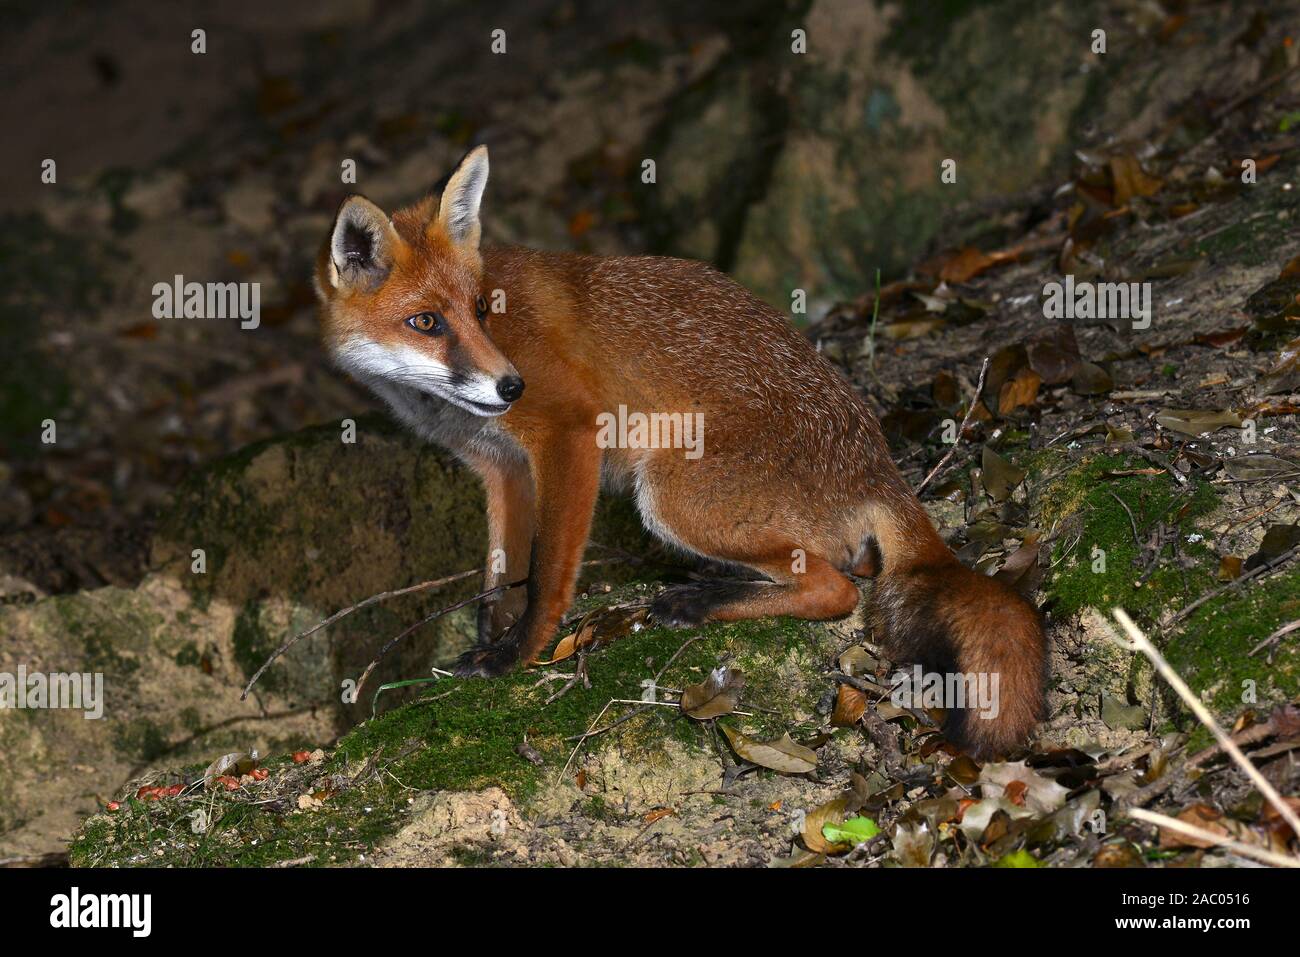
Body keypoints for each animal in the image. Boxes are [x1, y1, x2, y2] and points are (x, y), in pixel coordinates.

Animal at [313, 145, 1047, 757]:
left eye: (482, 310)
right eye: (427, 322)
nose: (511, 385)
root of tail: (881, 467)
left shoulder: (568, 433)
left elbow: (546, 577)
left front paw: (516, 657)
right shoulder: (501, 467)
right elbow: (499, 580)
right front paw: (488, 642)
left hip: (672, 498)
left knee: (837, 590)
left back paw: (698, 603)